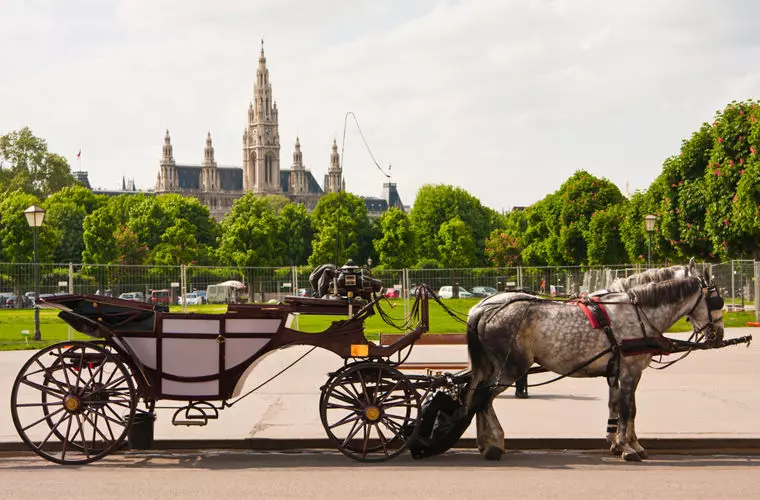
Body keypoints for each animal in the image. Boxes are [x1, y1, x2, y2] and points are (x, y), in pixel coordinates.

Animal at [470, 264, 724, 462]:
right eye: (715, 301)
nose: (718, 334)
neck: (638, 312)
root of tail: (484, 310)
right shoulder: (630, 372)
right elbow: (627, 409)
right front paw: (628, 447)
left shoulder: (616, 372)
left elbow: (619, 406)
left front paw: (622, 442)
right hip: (511, 367)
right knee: (484, 396)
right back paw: (493, 444)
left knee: (477, 395)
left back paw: (487, 442)